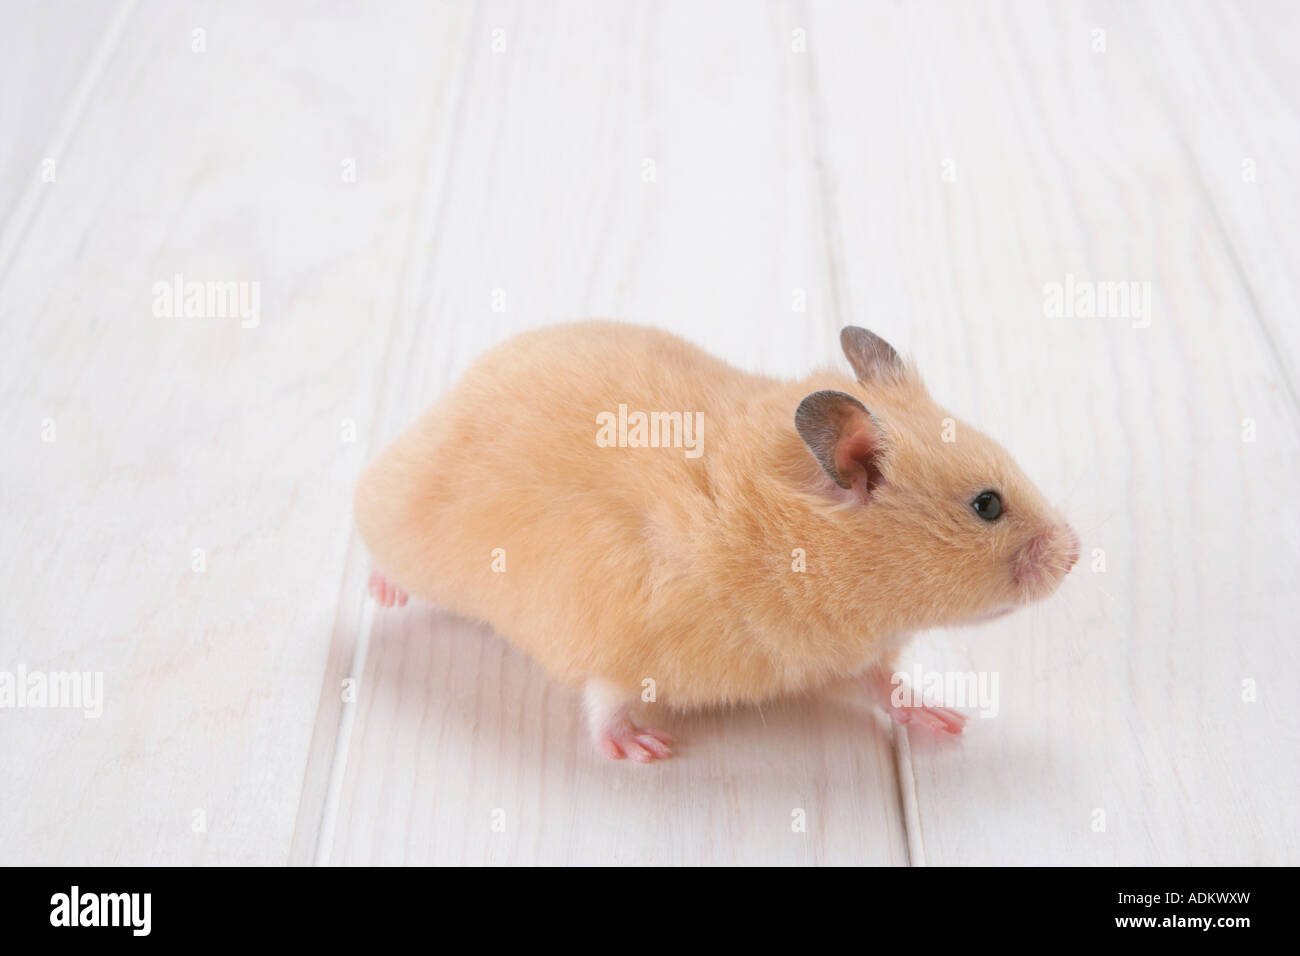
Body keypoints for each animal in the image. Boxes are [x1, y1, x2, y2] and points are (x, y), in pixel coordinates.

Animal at [354, 322, 1079, 762]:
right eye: (987, 506)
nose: (1074, 555)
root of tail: (444, 403)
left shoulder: (849, 655)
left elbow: (883, 683)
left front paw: (945, 721)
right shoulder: (615, 629)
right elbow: (604, 700)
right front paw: (645, 751)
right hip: (403, 523)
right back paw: (382, 592)